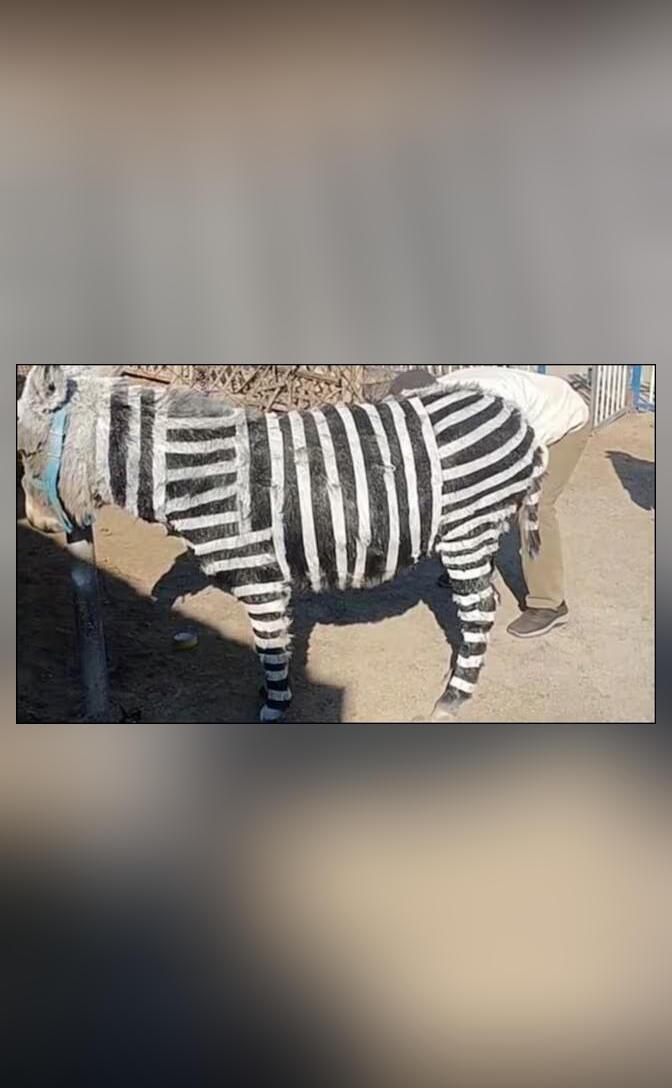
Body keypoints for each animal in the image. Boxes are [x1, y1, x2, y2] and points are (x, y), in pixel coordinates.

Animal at [17, 365, 548, 722]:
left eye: (24, 450)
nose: (40, 525)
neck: (200, 473)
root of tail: (513, 414)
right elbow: (273, 644)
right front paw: (272, 694)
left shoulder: (261, 578)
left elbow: (269, 645)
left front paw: (275, 705)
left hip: (467, 530)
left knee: (479, 609)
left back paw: (454, 696)